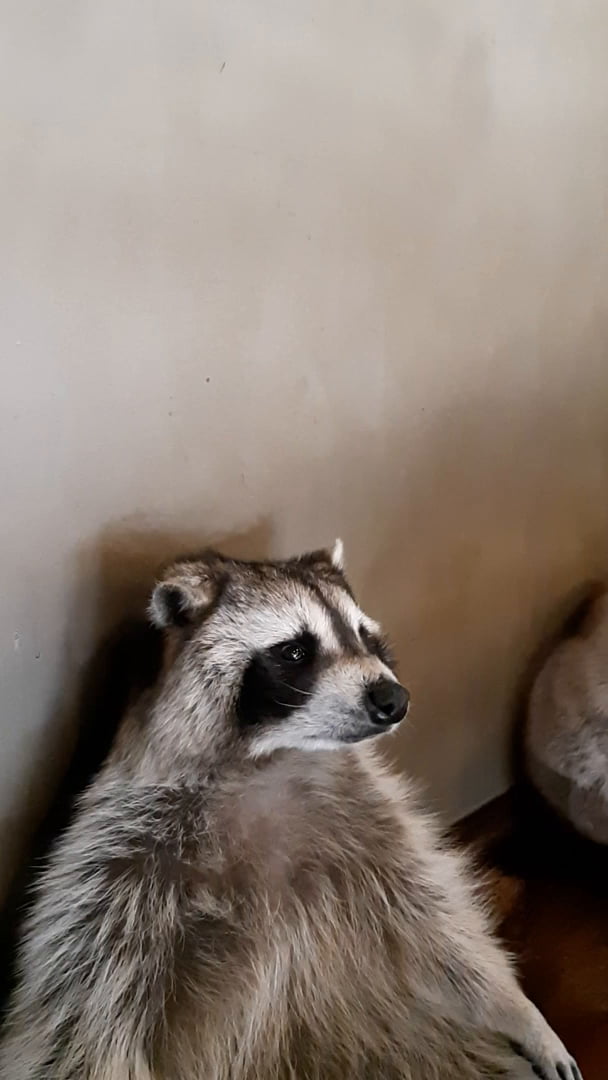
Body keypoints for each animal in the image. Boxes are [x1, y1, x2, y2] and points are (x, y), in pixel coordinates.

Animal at [0, 543, 581, 1079]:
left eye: (365, 637)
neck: (271, 757)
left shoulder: (372, 820)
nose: (393, 700)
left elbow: (439, 924)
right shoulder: (120, 859)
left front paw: (518, 1009)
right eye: (296, 651)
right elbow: (88, 1011)